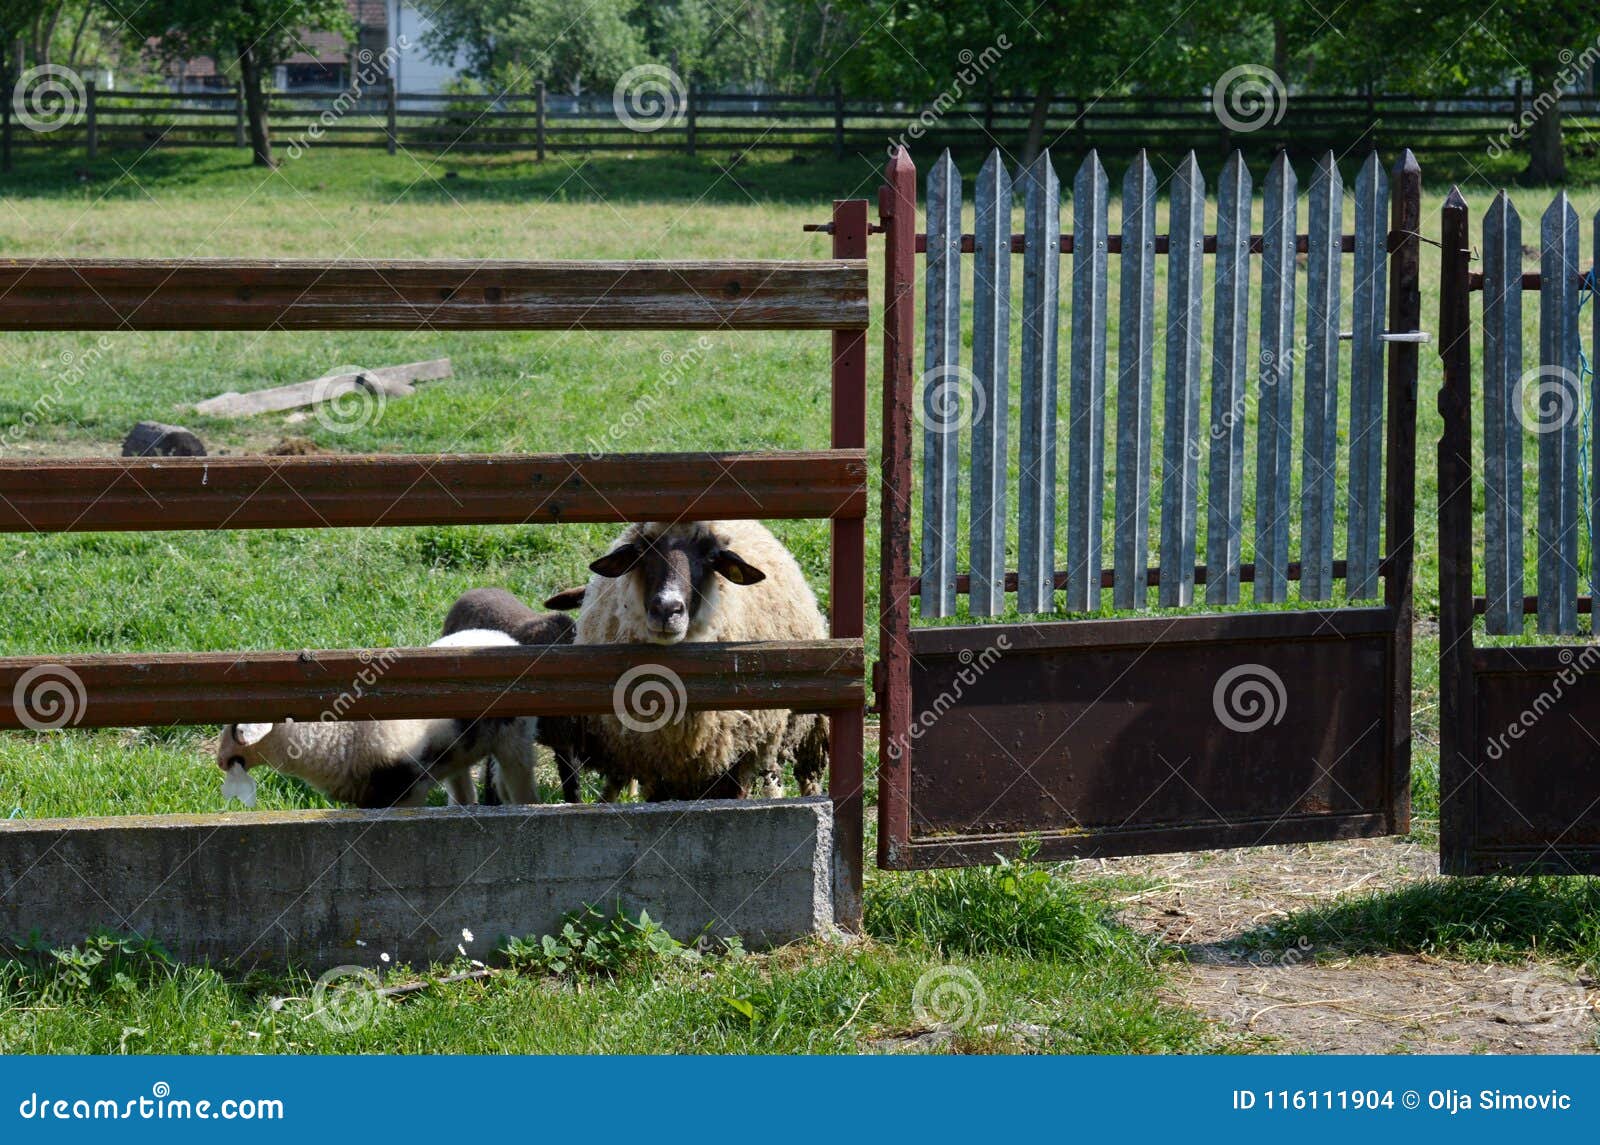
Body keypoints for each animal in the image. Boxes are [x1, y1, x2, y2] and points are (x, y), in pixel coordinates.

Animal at [214, 628, 539, 809]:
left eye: (235, 729)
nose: (219, 762)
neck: (335, 736)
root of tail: (502, 638)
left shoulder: (407, 790)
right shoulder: (368, 797)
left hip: (516, 738)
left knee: (519, 781)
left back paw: (525, 804)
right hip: (458, 750)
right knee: (463, 787)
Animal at [575, 519, 830, 801]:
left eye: (710, 557)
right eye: (641, 551)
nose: (667, 609)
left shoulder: (735, 762)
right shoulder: (655, 768)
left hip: (805, 731)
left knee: (804, 777)